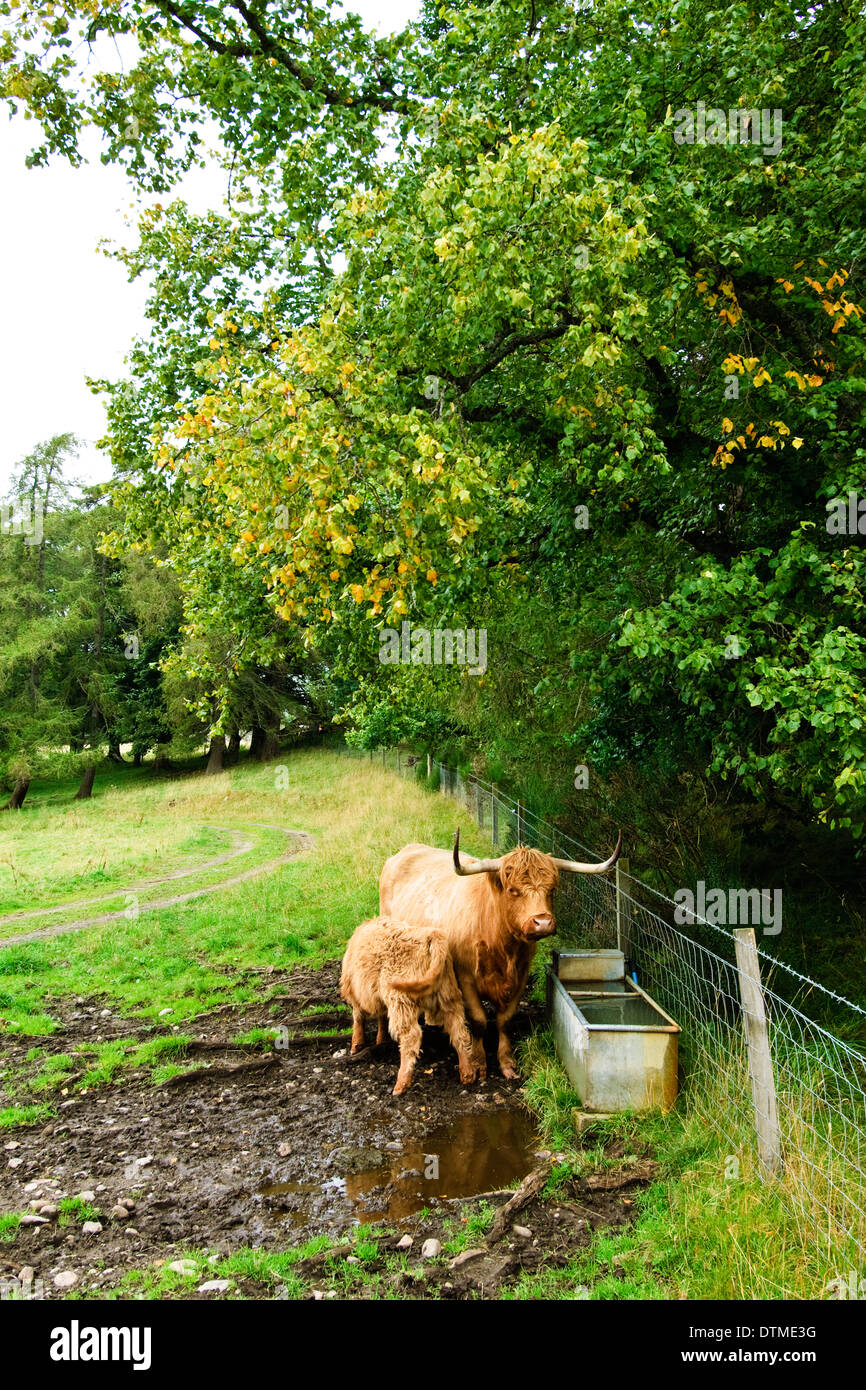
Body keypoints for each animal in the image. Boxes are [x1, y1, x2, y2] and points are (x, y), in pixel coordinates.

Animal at [339, 916, 475, 1095]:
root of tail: (431, 935)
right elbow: (381, 1019)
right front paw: (381, 1040)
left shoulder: (358, 995)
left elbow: (358, 1018)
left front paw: (356, 1044)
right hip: (448, 997)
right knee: (459, 1031)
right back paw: (467, 1074)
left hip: (400, 1000)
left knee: (411, 1037)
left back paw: (401, 1084)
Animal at [379, 828, 622, 1081]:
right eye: (513, 890)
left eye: (551, 889)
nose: (543, 922)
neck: (502, 946)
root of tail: (408, 850)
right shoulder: (466, 979)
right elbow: (479, 1020)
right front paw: (479, 1063)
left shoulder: (521, 976)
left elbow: (505, 1020)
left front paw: (506, 1063)